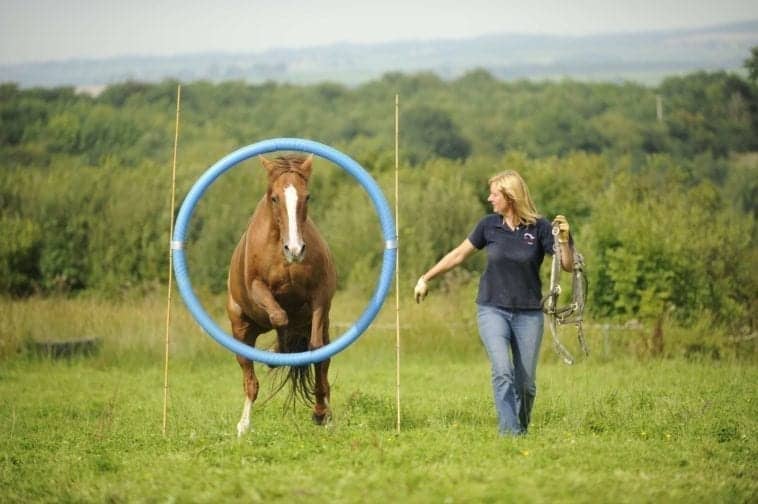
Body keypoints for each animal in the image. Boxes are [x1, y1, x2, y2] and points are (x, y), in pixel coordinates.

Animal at [226, 153, 337, 437]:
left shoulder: (320, 298)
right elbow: (279, 316)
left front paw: (320, 413)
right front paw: (277, 355)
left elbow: (316, 349)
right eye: (274, 198)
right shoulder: (257, 287)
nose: (295, 250)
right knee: (250, 379)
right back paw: (243, 425)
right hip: (241, 328)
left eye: (307, 196)